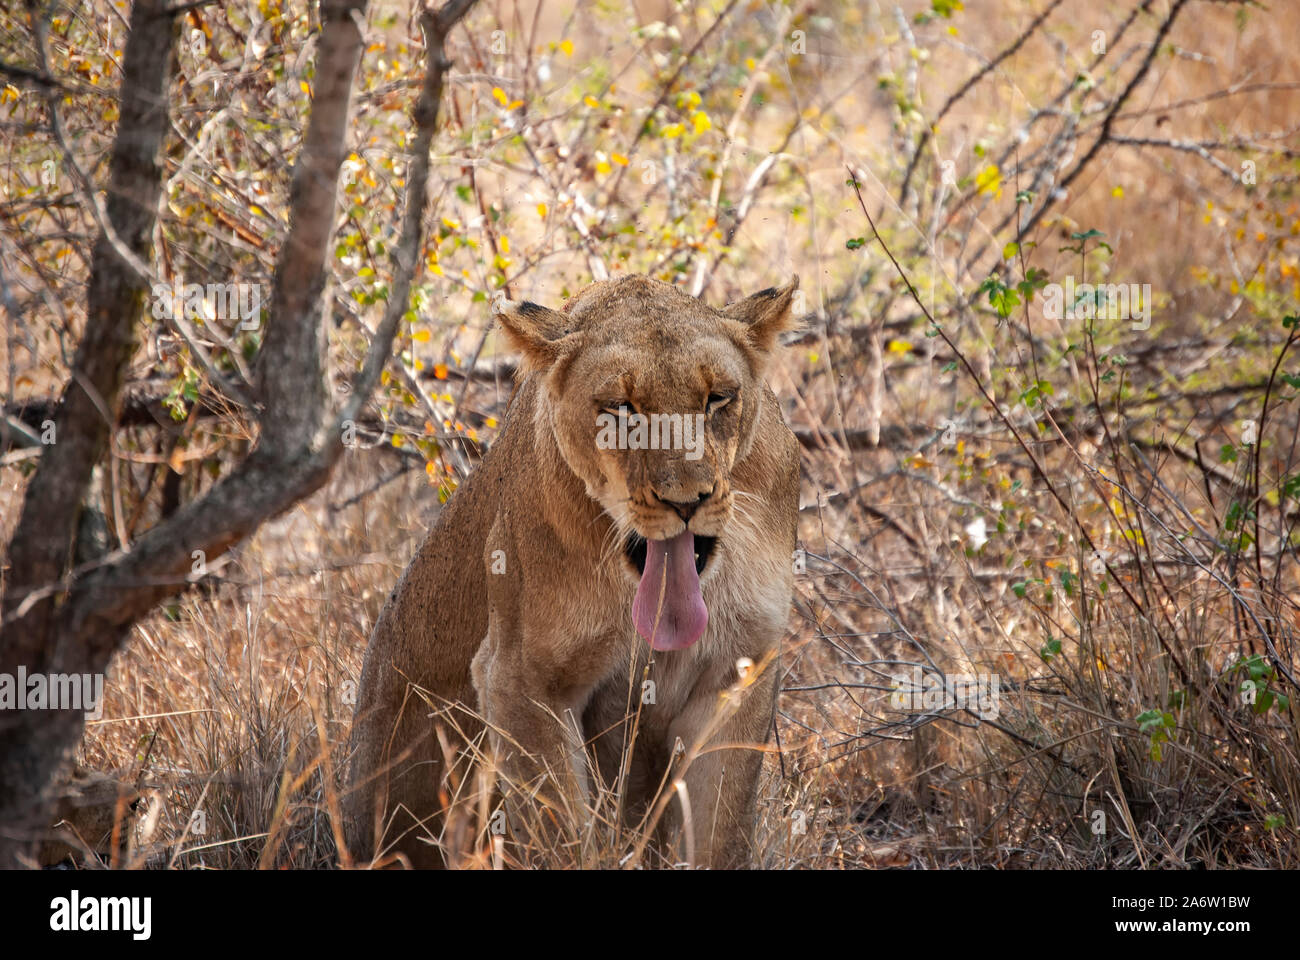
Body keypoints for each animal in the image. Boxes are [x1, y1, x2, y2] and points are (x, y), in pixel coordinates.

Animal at [344, 273, 801, 868]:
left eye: (717, 398)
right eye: (621, 408)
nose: (686, 501)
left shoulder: (738, 668)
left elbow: (722, 835)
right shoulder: (520, 679)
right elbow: (560, 835)